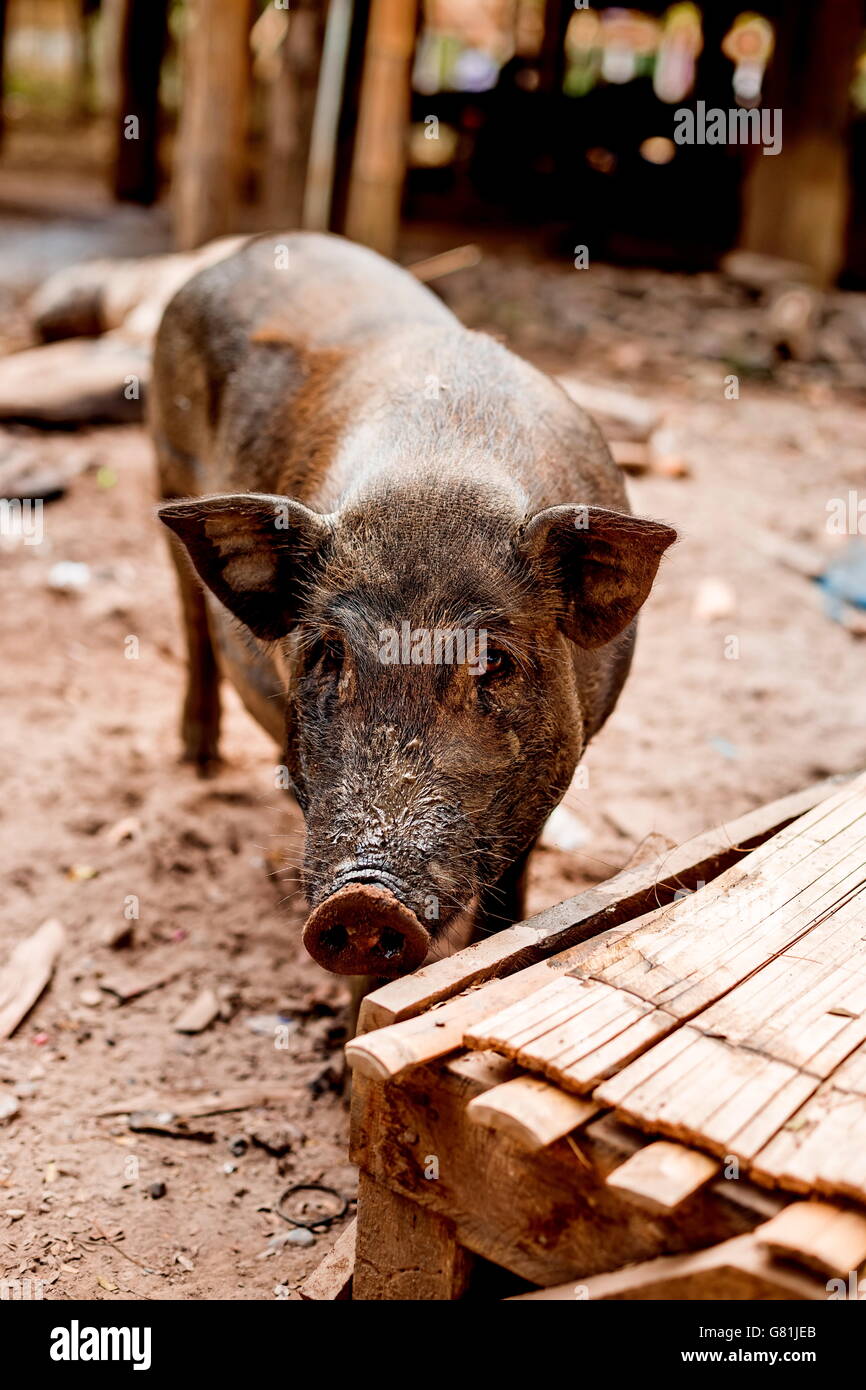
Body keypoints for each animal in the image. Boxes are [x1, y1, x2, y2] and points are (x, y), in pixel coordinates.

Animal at [153, 232, 675, 988]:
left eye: (494, 663)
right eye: (328, 653)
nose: (368, 897)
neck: (439, 465)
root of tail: (246, 248)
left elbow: (505, 899)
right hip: (162, 458)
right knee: (192, 620)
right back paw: (197, 759)